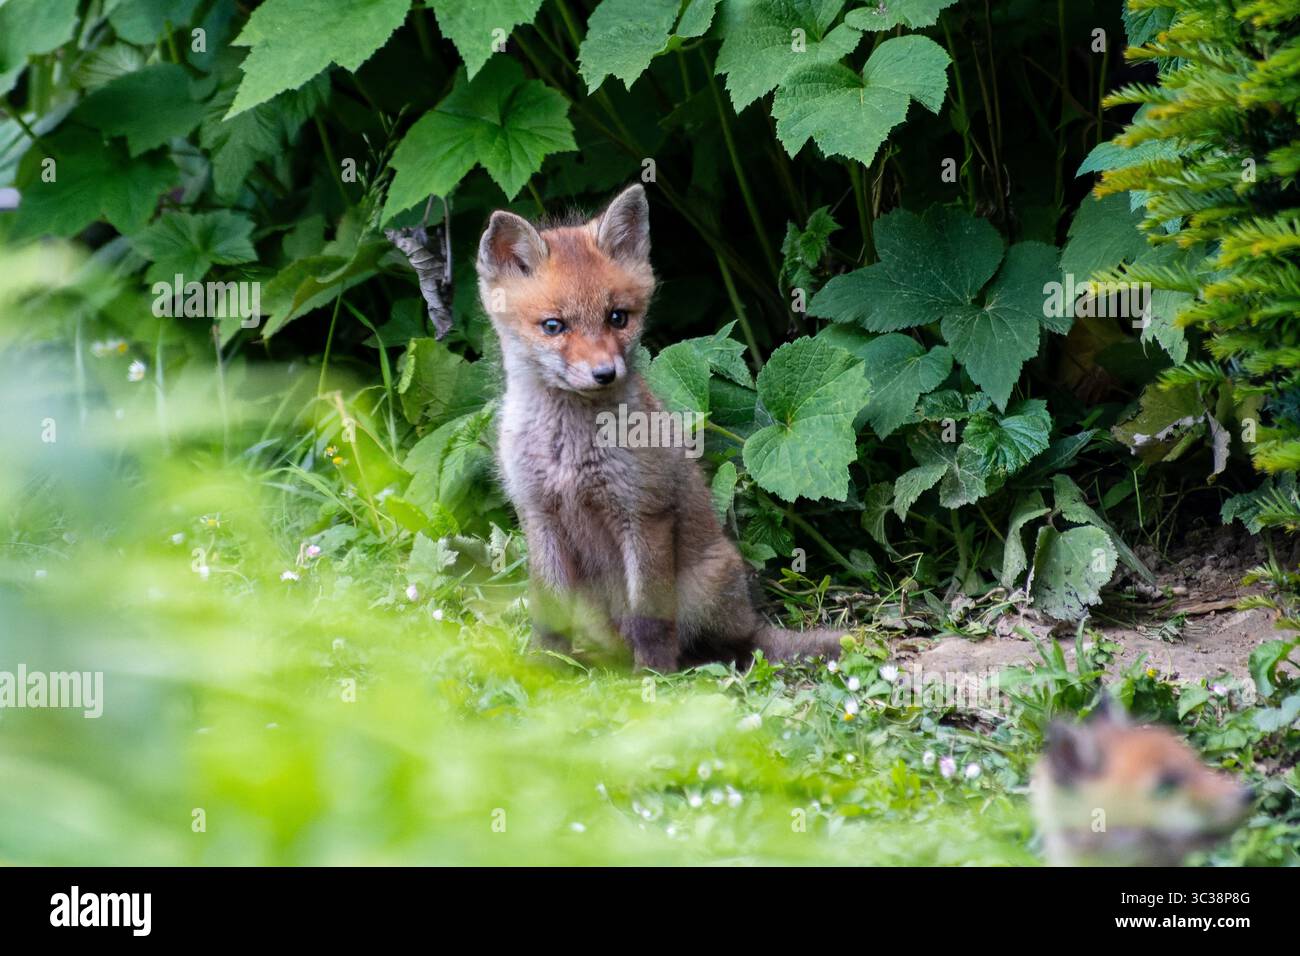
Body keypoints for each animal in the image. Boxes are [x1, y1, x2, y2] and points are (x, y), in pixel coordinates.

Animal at [476, 183, 847, 671]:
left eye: (617, 317)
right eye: (554, 326)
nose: (604, 373)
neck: (571, 453)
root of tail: (749, 620)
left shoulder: (643, 513)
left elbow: (649, 619)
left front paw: (652, 678)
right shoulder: (539, 516)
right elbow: (550, 613)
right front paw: (546, 670)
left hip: (707, 588)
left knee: (731, 646)